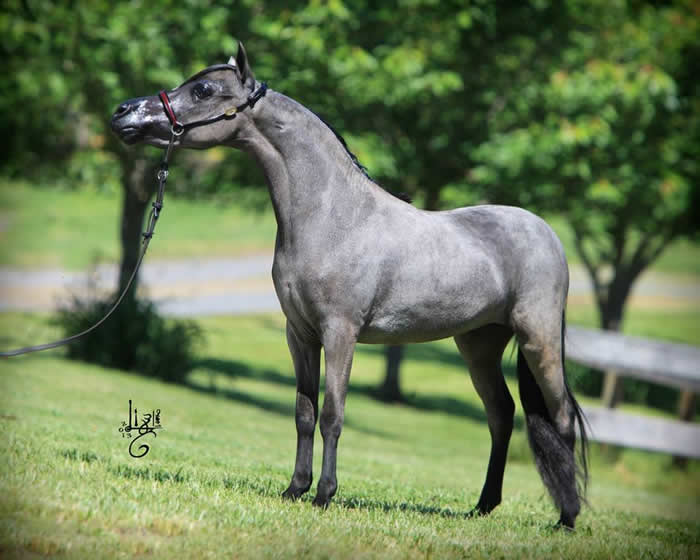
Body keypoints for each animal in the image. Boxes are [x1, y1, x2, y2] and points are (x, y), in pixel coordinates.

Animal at [111, 42, 588, 529]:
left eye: (204, 89)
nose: (123, 112)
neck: (333, 217)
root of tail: (546, 233)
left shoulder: (341, 333)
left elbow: (332, 414)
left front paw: (324, 494)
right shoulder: (300, 334)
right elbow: (303, 413)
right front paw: (295, 489)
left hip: (538, 337)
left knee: (561, 418)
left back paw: (567, 517)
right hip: (479, 345)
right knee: (501, 416)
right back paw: (483, 506)